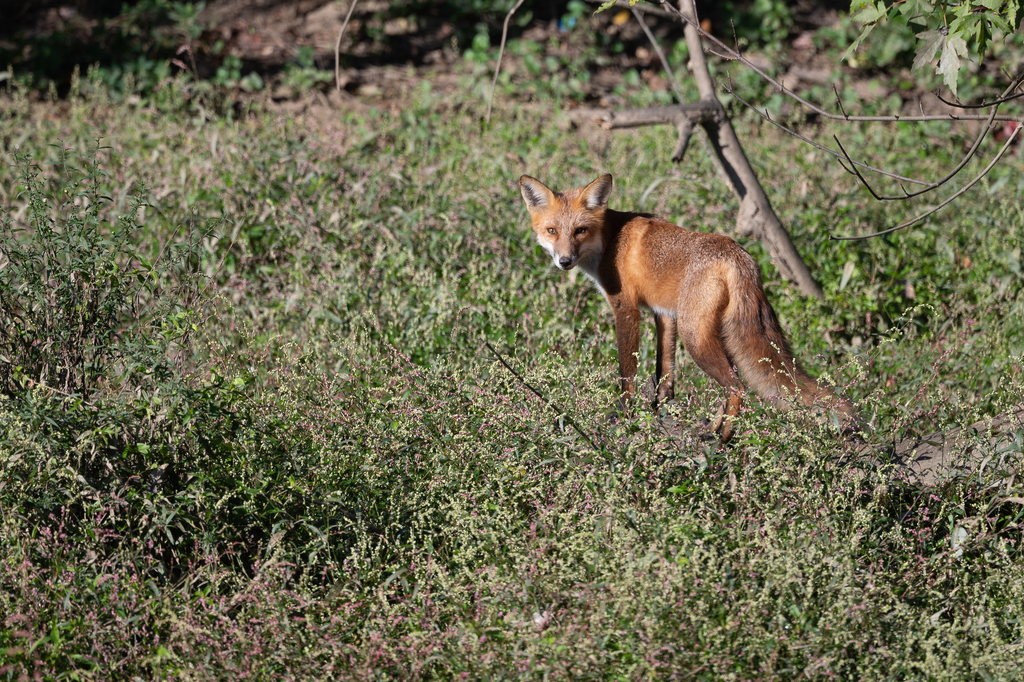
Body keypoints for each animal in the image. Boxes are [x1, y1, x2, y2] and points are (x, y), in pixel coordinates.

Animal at [519, 173, 855, 441]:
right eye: (551, 231)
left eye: (580, 231)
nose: (564, 261)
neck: (607, 239)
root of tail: (739, 255)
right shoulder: (664, 313)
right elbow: (664, 372)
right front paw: (659, 410)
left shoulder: (626, 308)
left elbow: (627, 373)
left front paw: (624, 417)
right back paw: (714, 430)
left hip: (696, 337)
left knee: (738, 388)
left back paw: (722, 439)